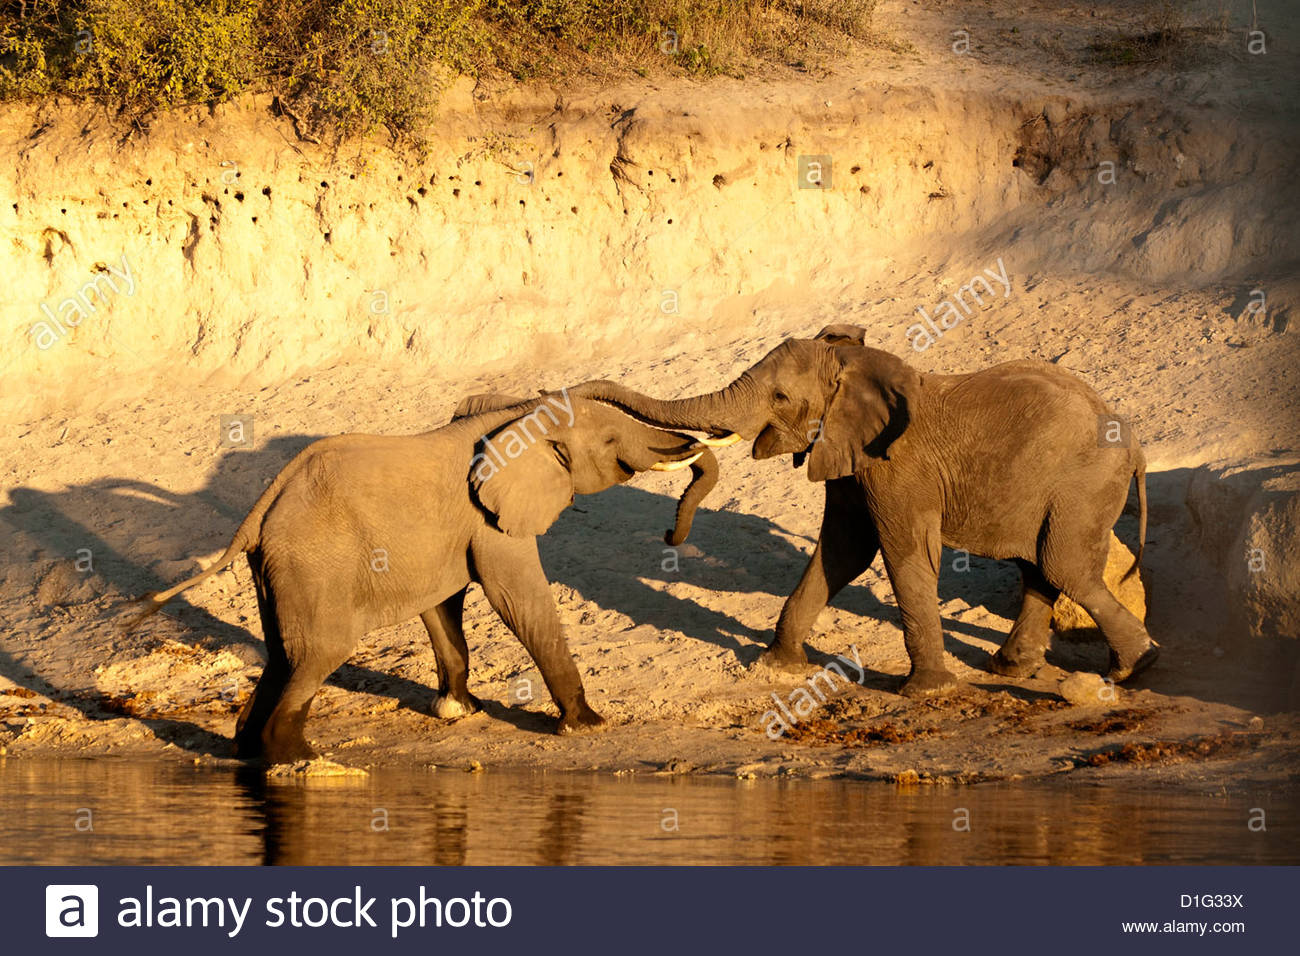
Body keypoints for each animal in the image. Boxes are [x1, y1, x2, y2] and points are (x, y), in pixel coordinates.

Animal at [129, 392, 711, 762]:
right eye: (612, 439)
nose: (668, 537)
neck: (516, 420)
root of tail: (260, 508)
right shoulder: (493, 521)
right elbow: (518, 599)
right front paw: (587, 724)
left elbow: (442, 605)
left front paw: (459, 711)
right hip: (312, 565)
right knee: (319, 653)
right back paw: (297, 758)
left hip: (275, 571)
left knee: (283, 653)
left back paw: (251, 751)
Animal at [573, 325, 1158, 697]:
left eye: (779, 397)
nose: (669, 537)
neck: (853, 367)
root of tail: (1134, 443)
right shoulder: (848, 456)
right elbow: (841, 551)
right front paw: (778, 666)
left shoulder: (896, 466)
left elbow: (902, 554)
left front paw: (925, 693)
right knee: (1039, 567)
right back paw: (1013, 668)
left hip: (1083, 485)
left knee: (1062, 565)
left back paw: (1136, 668)